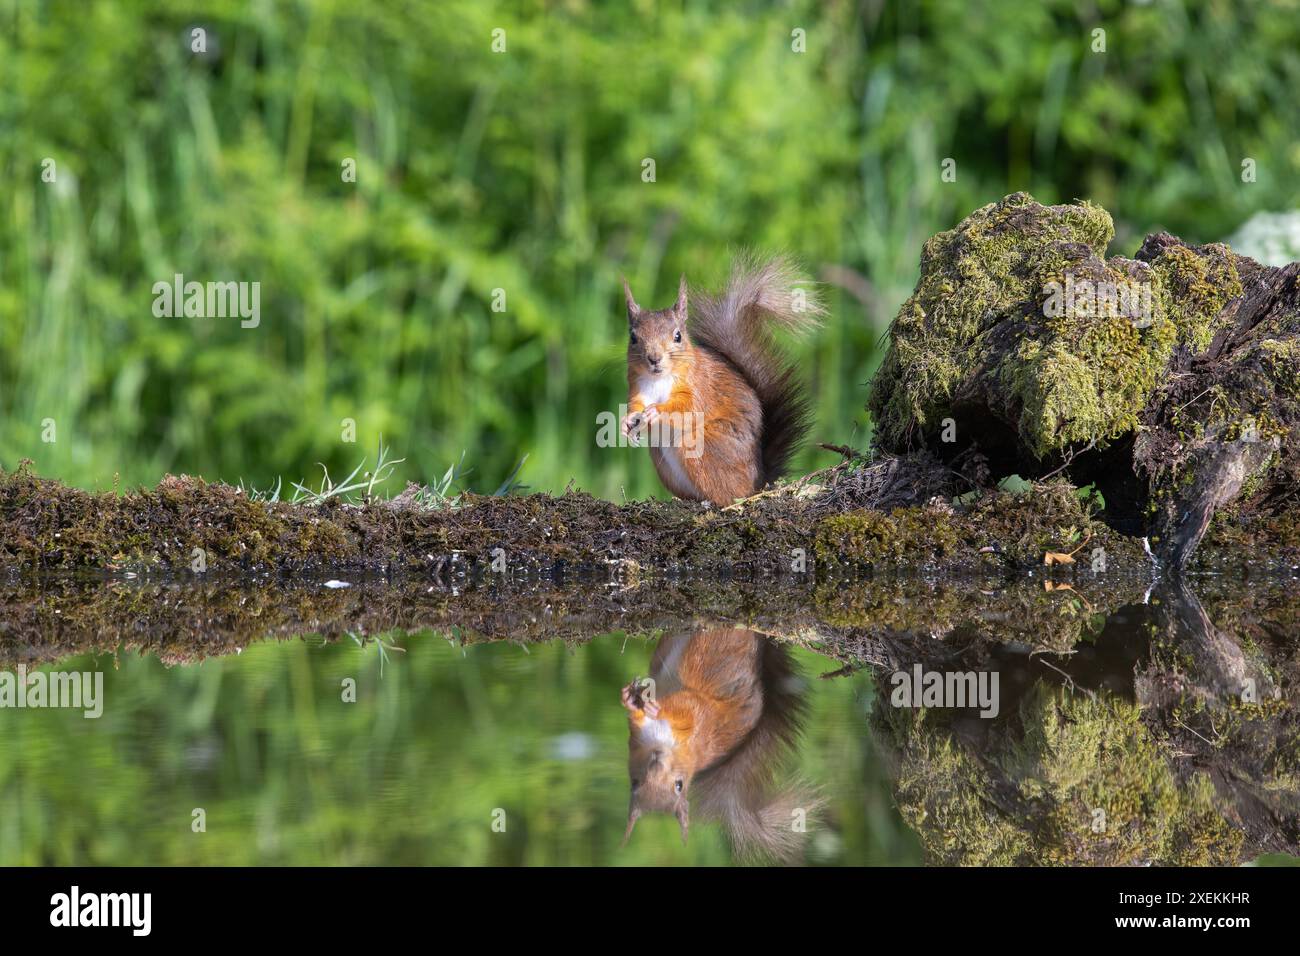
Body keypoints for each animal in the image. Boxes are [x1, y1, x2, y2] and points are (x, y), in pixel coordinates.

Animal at [619, 255, 823, 506]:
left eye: (678, 336)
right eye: (633, 337)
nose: (654, 359)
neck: (659, 379)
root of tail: (760, 481)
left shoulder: (699, 385)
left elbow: (688, 409)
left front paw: (655, 412)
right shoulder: (638, 387)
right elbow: (635, 405)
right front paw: (627, 423)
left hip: (700, 447)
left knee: (731, 494)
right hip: (659, 455)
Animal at [621, 626, 820, 862]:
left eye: (680, 785)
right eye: (635, 783)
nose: (658, 761)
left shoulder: (697, 718)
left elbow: (685, 710)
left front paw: (651, 707)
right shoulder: (637, 738)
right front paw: (629, 700)